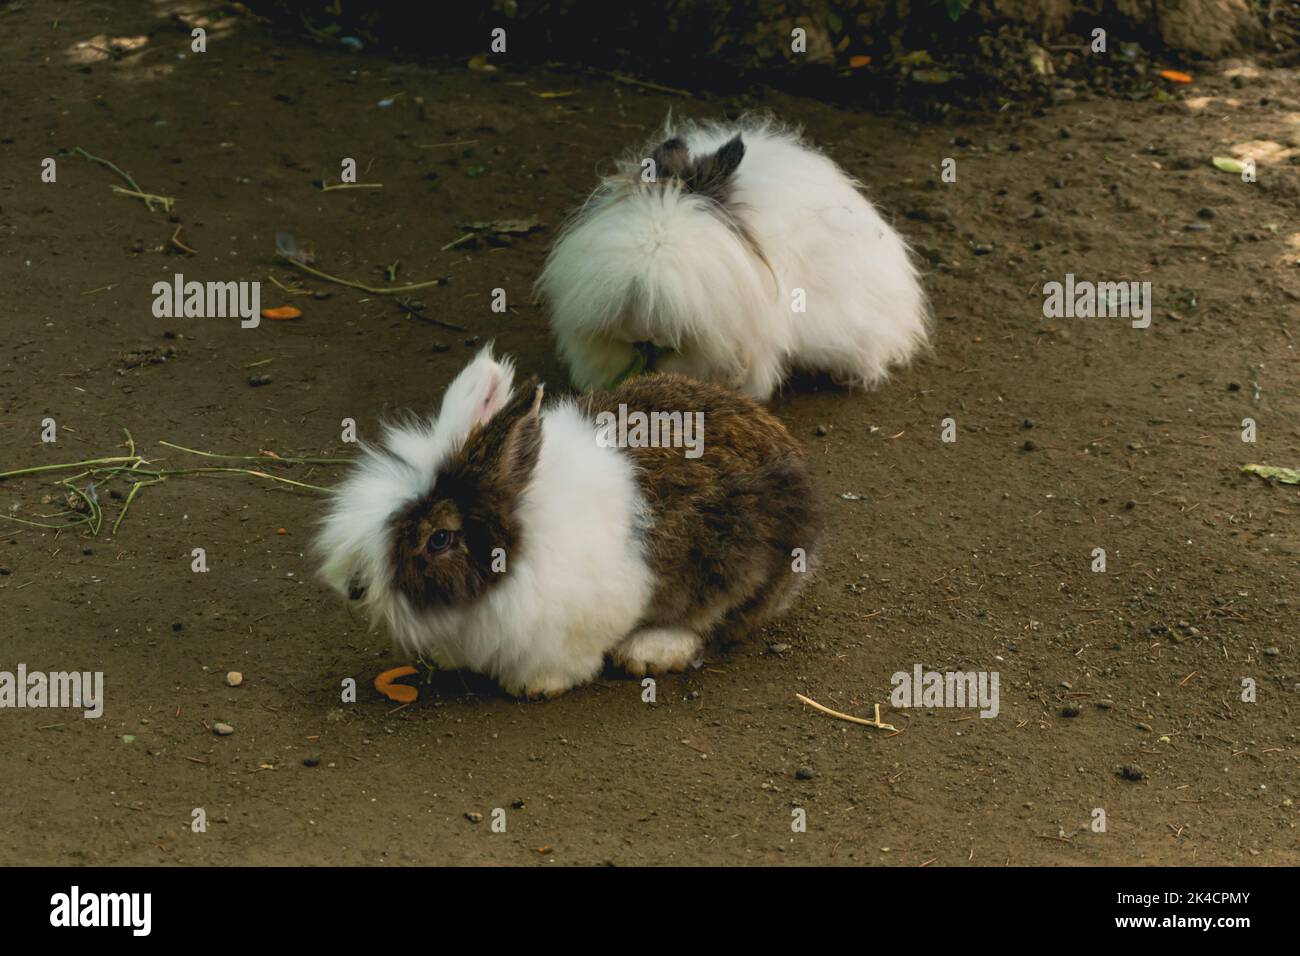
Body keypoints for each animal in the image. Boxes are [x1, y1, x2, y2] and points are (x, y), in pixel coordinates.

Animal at [316, 346, 820, 698]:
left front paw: (535, 686)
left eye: (439, 538)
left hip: (734, 559)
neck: (520, 537)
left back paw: (649, 651)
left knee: (713, 617)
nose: (355, 589)